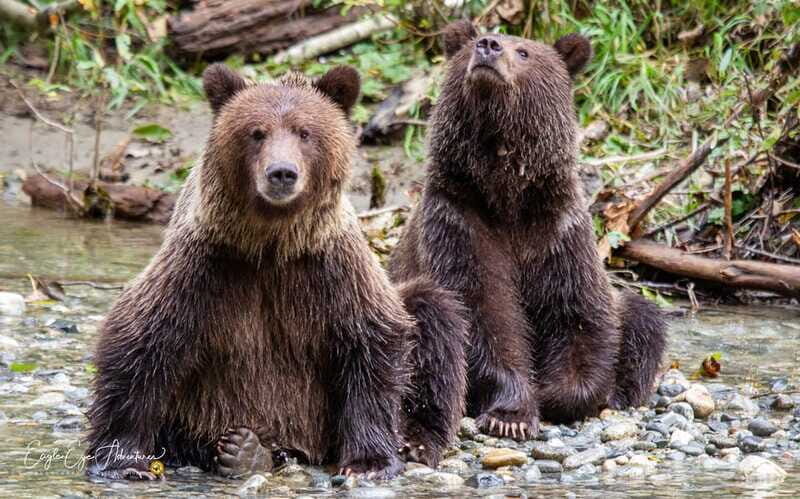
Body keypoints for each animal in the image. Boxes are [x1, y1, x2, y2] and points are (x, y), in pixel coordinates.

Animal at [85, 63, 468, 480]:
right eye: (256, 132)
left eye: (304, 132)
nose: (281, 173)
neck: (272, 242)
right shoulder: (207, 265)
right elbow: (142, 339)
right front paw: (122, 460)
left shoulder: (330, 268)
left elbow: (372, 340)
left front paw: (370, 462)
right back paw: (245, 450)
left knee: (433, 313)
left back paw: (414, 440)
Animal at [389, 21, 667, 438]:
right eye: (474, 42)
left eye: (524, 51)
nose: (489, 46)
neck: (507, 197)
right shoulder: (460, 223)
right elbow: (484, 312)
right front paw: (511, 415)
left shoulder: (557, 231)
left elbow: (578, 313)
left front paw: (559, 394)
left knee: (642, 314)